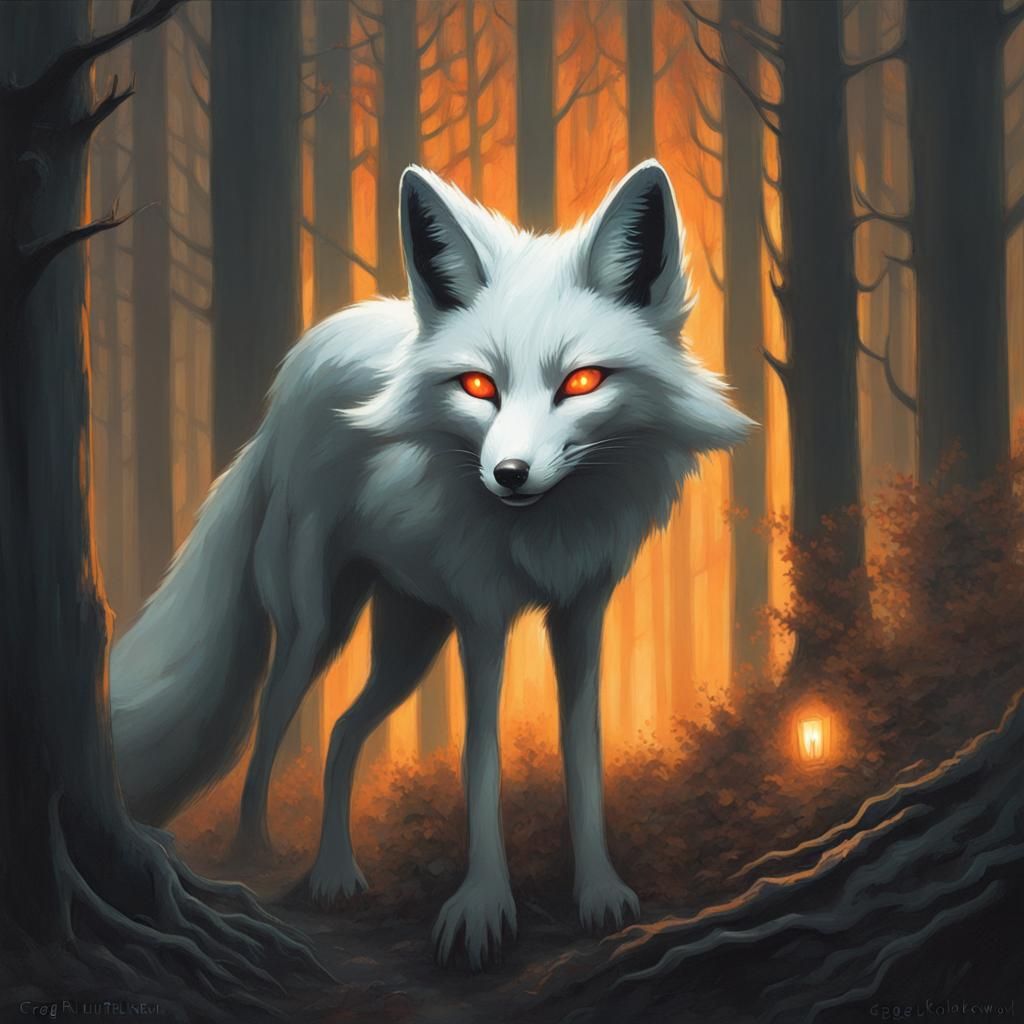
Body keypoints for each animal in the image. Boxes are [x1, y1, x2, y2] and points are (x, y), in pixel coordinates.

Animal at [109, 159, 753, 968]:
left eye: (581, 382)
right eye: (479, 385)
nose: (508, 474)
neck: (542, 533)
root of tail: (289, 384)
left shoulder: (580, 614)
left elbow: (583, 759)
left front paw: (599, 892)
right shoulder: (483, 622)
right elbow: (480, 763)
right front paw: (483, 908)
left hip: (410, 645)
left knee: (341, 733)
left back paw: (336, 871)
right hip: (319, 628)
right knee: (272, 722)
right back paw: (258, 852)